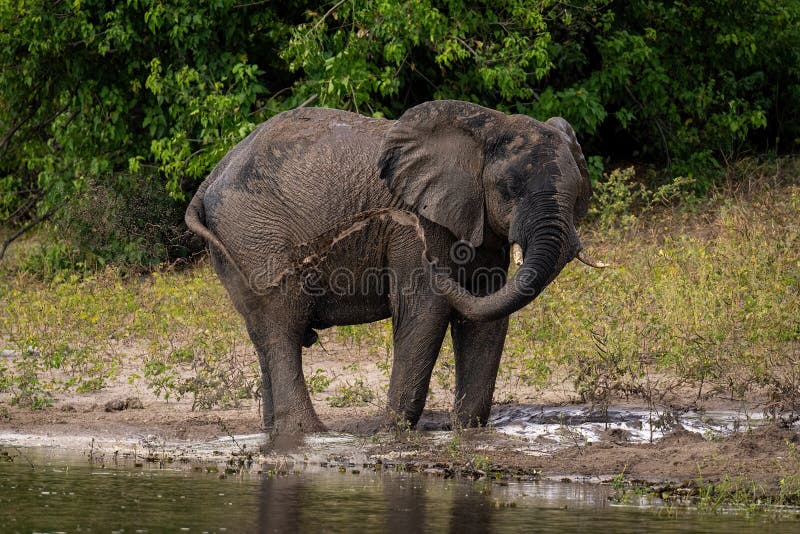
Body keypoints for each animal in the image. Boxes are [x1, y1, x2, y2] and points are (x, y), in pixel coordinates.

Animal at [185, 100, 607, 436]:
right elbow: (427, 311)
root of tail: (212, 176)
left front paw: (466, 431)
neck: (487, 128)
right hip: (255, 235)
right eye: (509, 189)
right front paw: (390, 432)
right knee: (282, 323)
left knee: (263, 334)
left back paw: (277, 432)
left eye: (577, 192)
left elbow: (486, 317)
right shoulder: (418, 225)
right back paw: (310, 434)